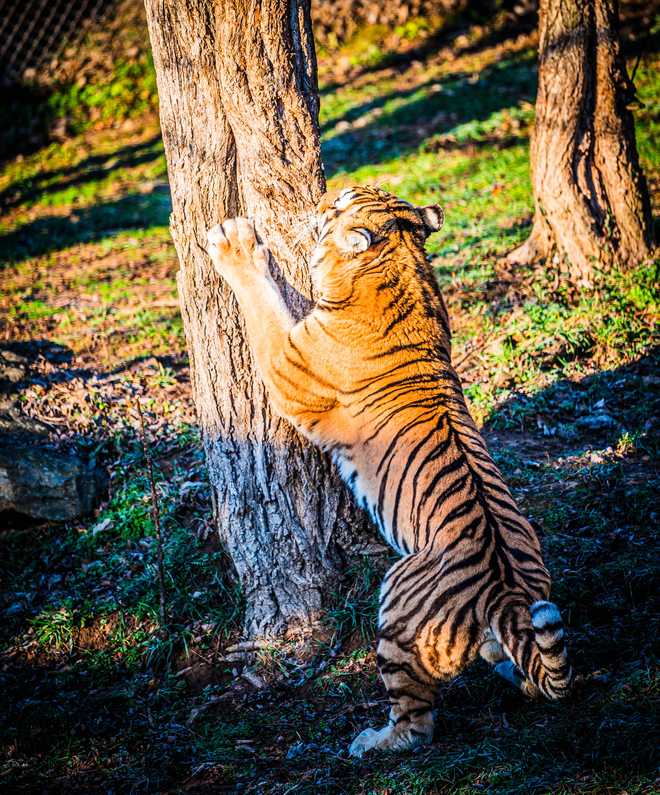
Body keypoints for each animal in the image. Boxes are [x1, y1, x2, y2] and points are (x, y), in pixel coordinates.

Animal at [206, 185, 573, 757]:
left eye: (339, 204)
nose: (322, 199)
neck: (401, 263)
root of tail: (507, 597)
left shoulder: (287, 365)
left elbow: (265, 300)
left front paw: (235, 241)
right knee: (523, 669)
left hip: (397, 604)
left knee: (417, 724)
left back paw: (371, 741)